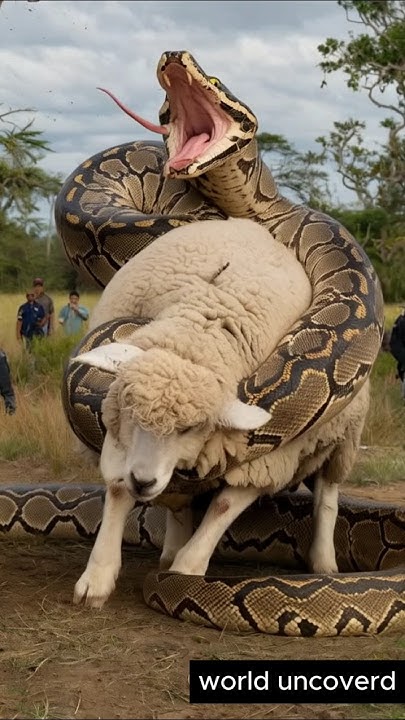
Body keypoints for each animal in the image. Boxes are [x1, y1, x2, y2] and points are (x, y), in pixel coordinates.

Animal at [71, 217, 369, 608]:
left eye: (191, 428)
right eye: (130, 410)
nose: (144, 481)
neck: (202, 323)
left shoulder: (267, 460)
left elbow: (225, 506)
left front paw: (185, 572)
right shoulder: (122, 440)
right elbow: (119, 490)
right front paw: (98, 577)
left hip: (342, 438)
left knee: (327, 496)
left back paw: (323, 560)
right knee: (179, 500)